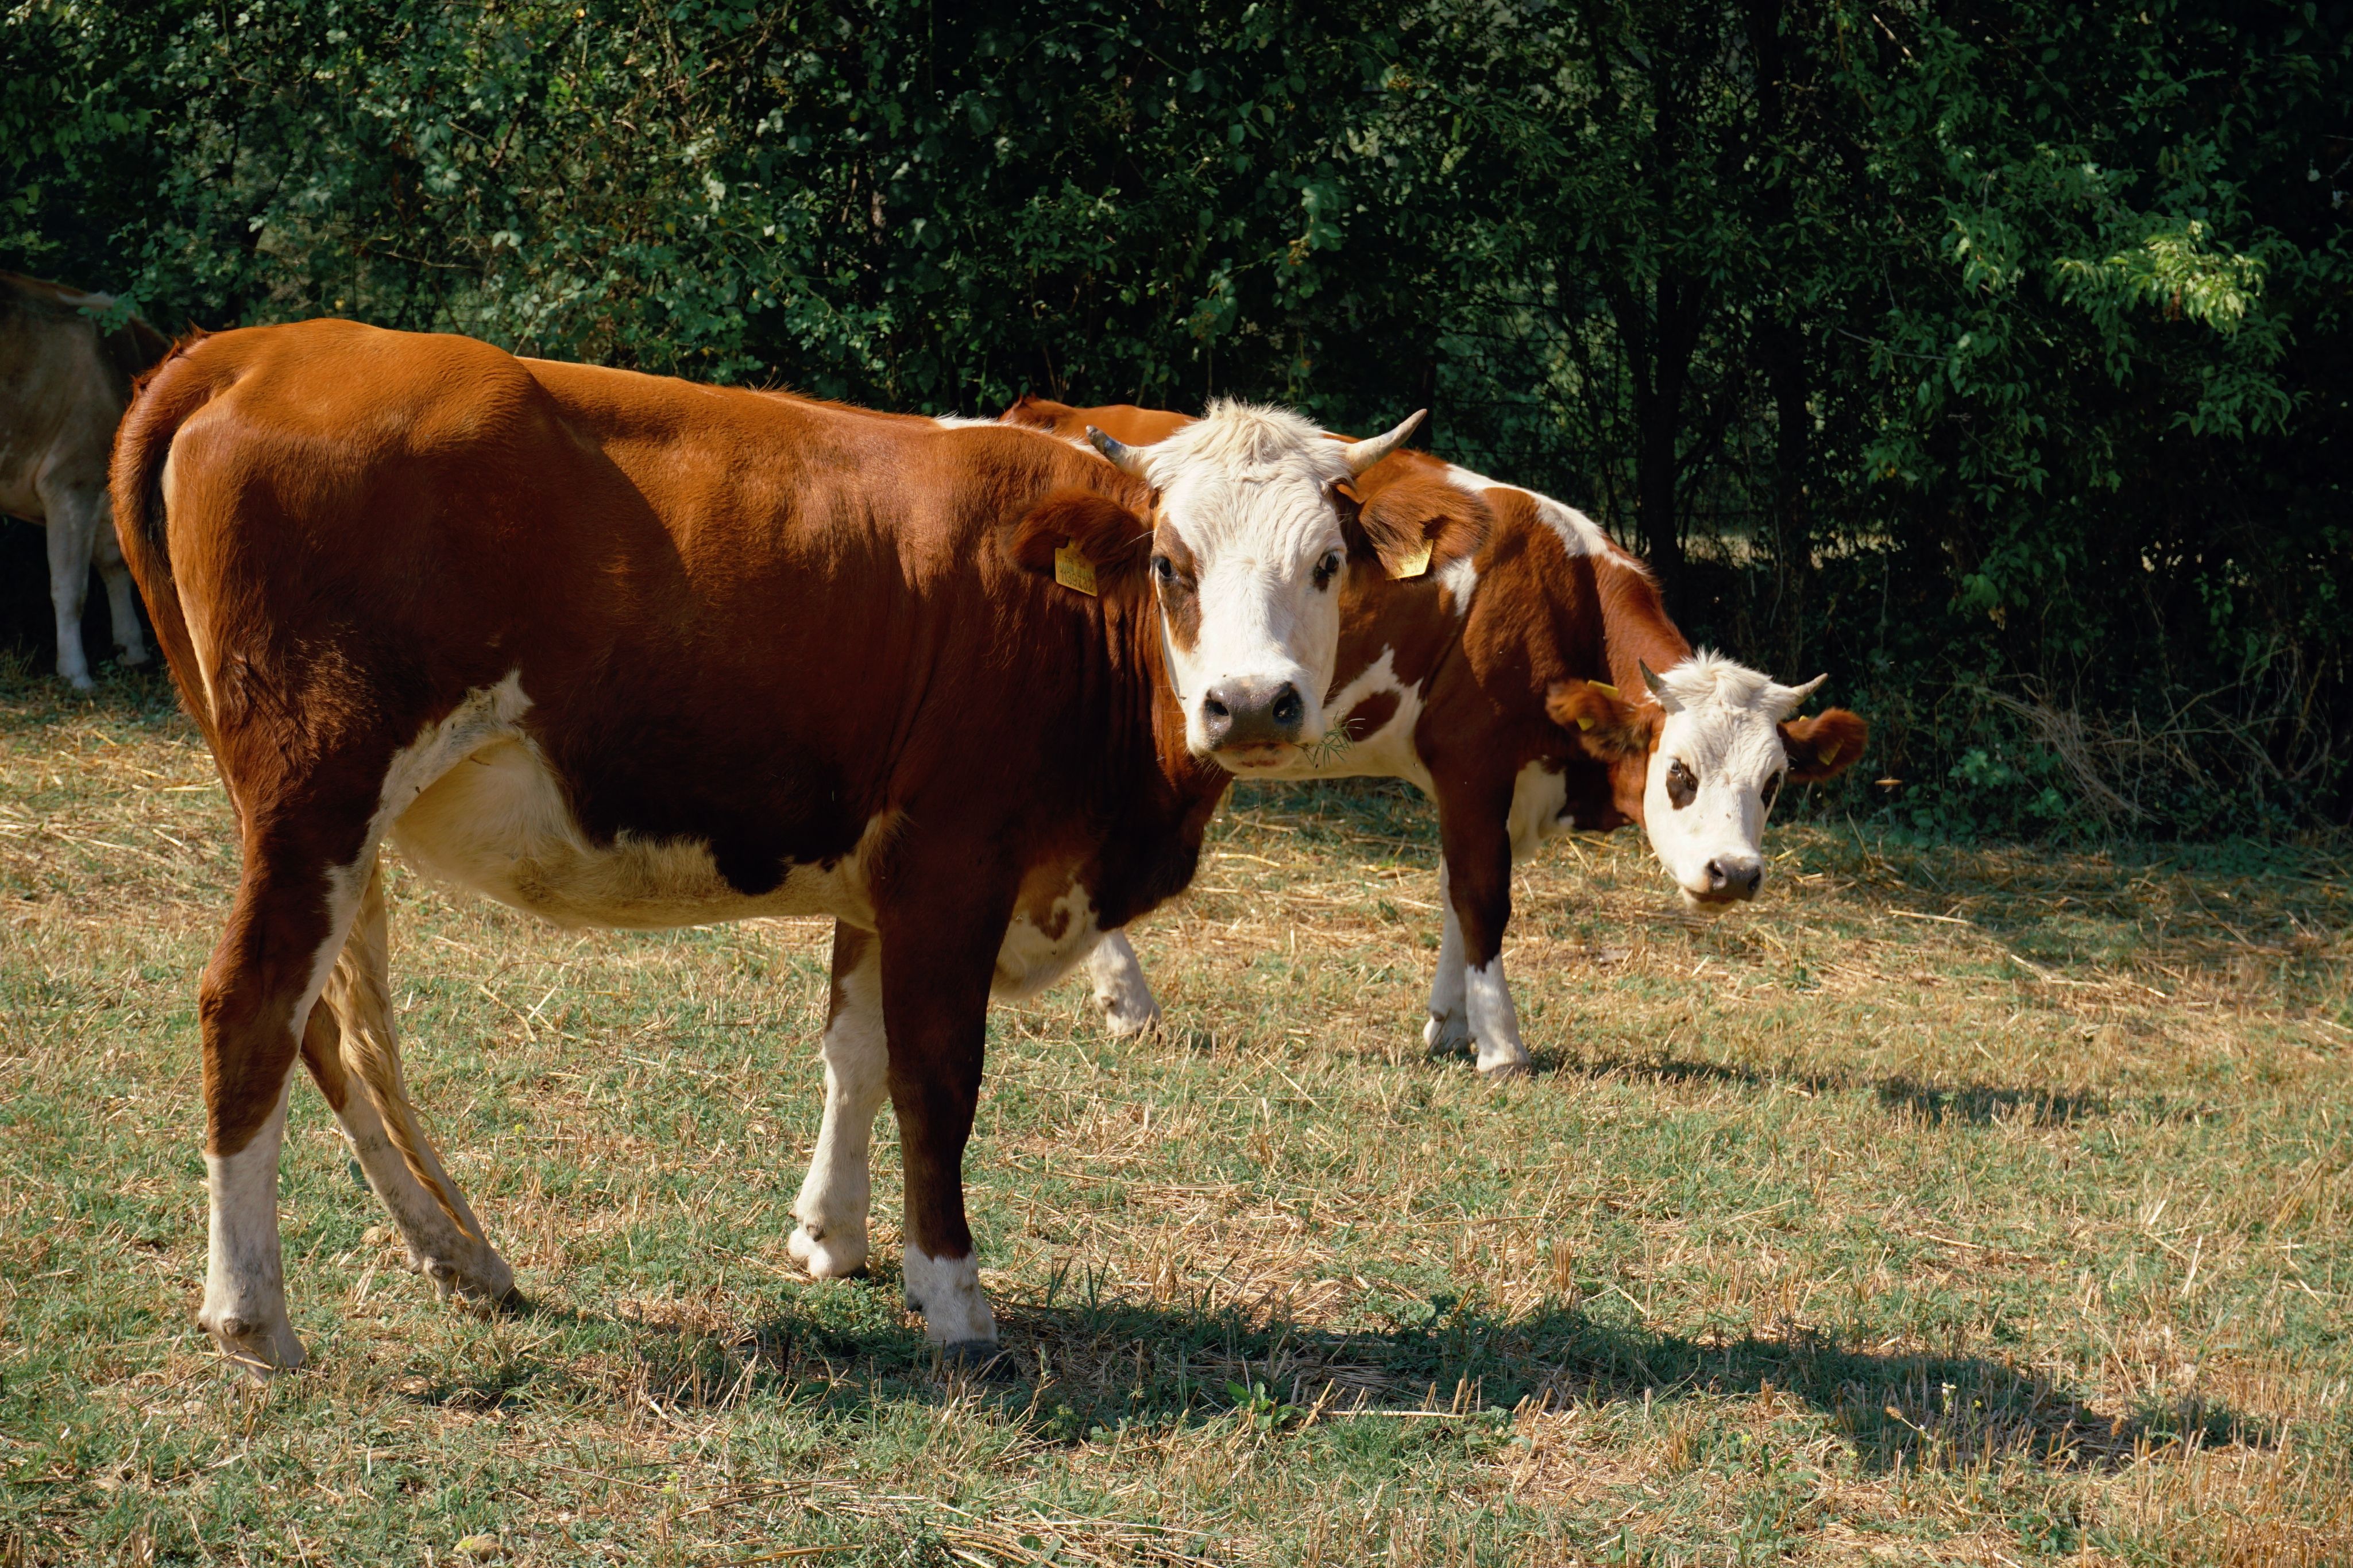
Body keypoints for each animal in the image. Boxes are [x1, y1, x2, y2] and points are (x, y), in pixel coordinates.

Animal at [109, 320, 1447, 1376]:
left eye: (1326, 563)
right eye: (1172, 564)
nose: (1251, 703)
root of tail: (259, 348)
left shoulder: (882, 872)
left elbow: (852, 1052)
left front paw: (831, 1238)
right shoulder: (951, 865)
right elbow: (935, 1077)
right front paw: (952, 1295)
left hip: (322, 822)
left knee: (331, 1025)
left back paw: (462, 1255)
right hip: (319, 795)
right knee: (254, 1007)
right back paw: (255, 1318)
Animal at [1001, 398, 1867, 1076]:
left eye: (1773, 784)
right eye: (1678, 772)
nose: (1734, 873)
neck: (1558, 586)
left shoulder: (1498, 787)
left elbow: (1456, 890)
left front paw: (1451, 1024)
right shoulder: (1472, 761)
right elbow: (1484, 896)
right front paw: (1501, 1046)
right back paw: (1128, 1001)